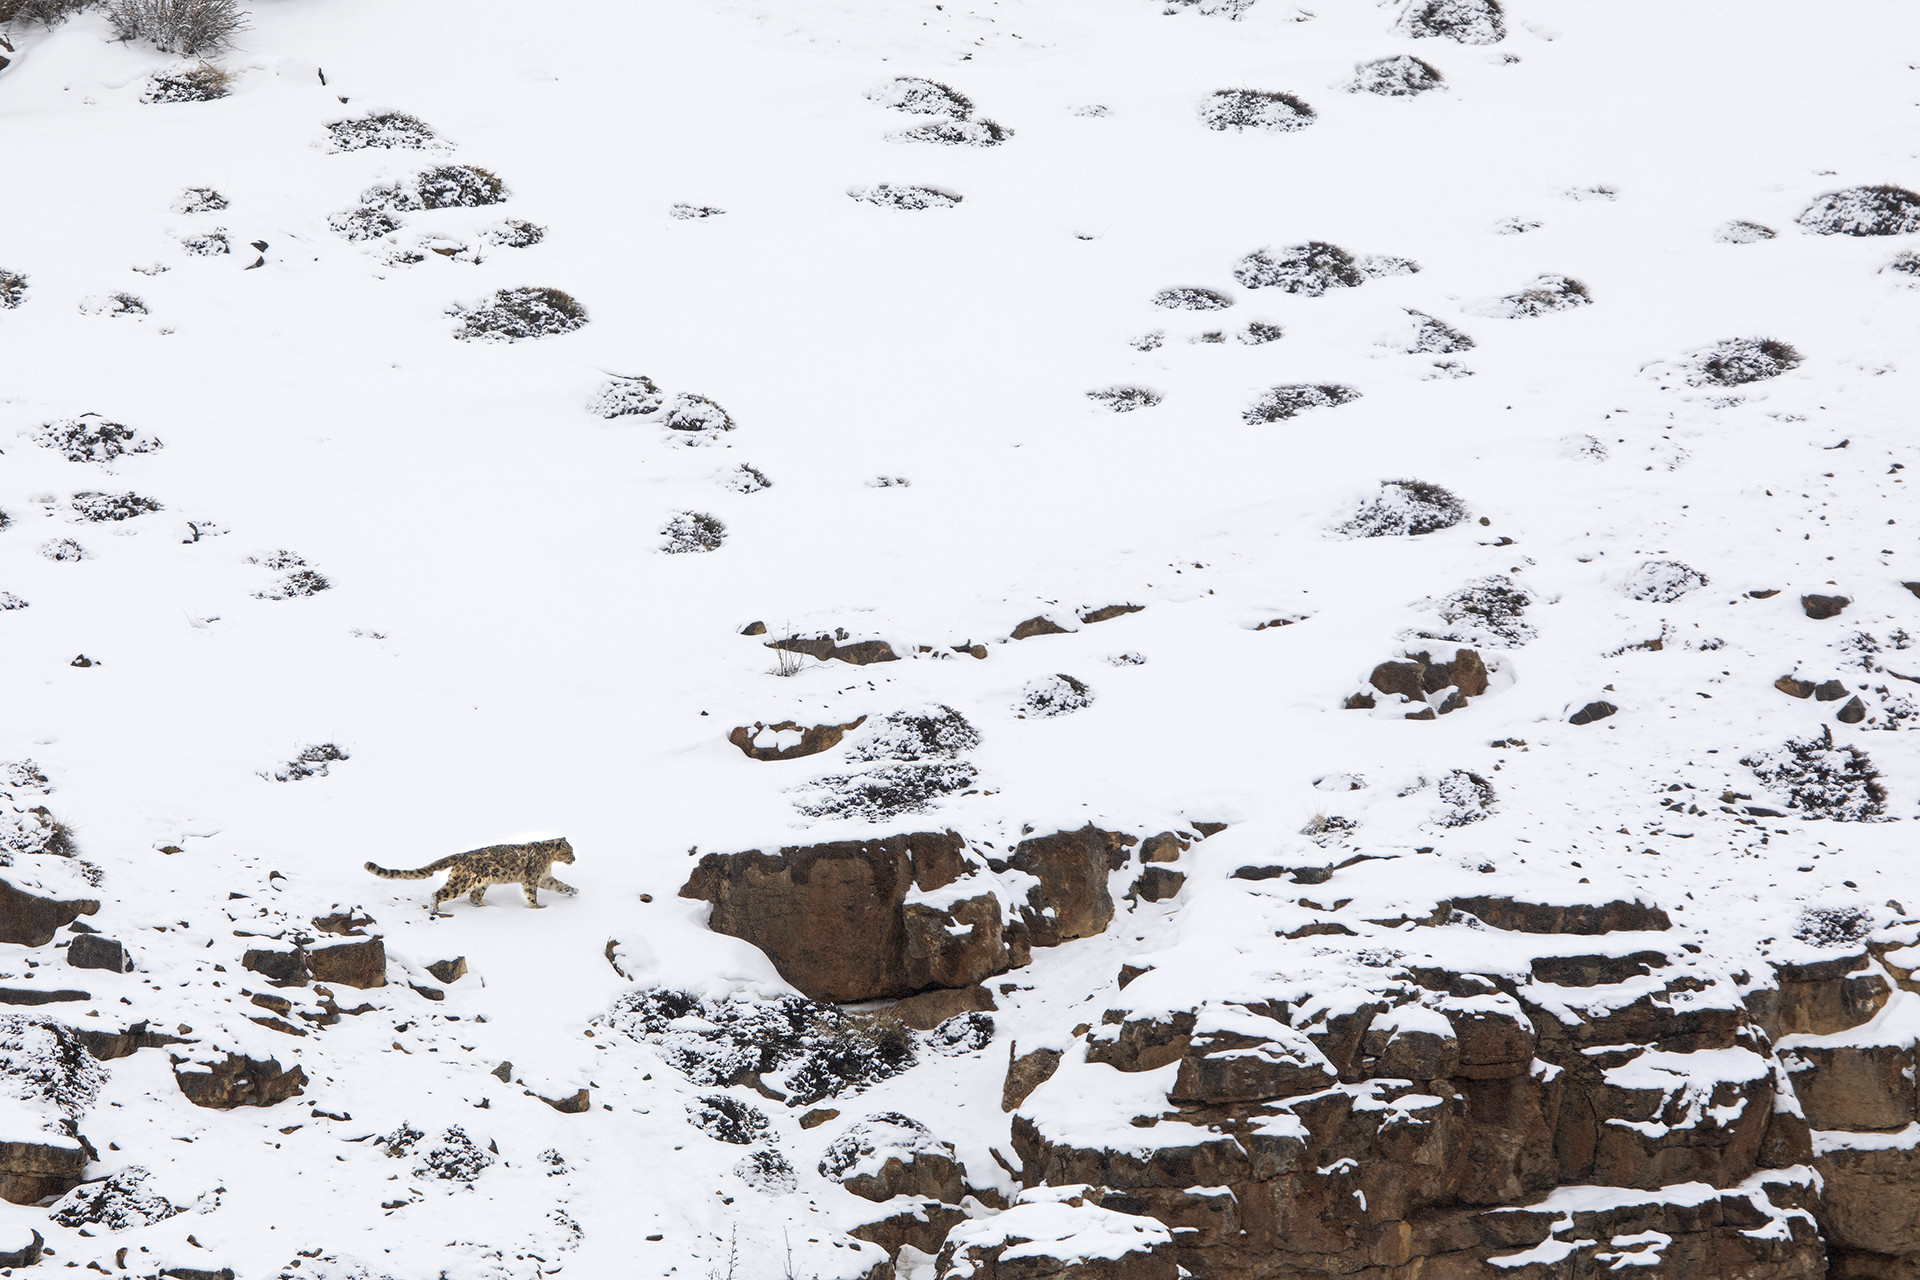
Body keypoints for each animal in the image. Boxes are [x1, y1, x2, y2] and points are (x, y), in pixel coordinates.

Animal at [366, 837, 577, 915]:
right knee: (439, 893)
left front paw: (573, 890)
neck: (548, 859)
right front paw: (537, 907)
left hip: (481, 883)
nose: (574, 859)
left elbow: (559, 885)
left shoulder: (545, 878)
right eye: (569, 851)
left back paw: (484, 906)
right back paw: (435, 909)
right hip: (462, 882)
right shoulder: (532, 878)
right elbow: (531, 894)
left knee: (474, 897)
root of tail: (461, 855)